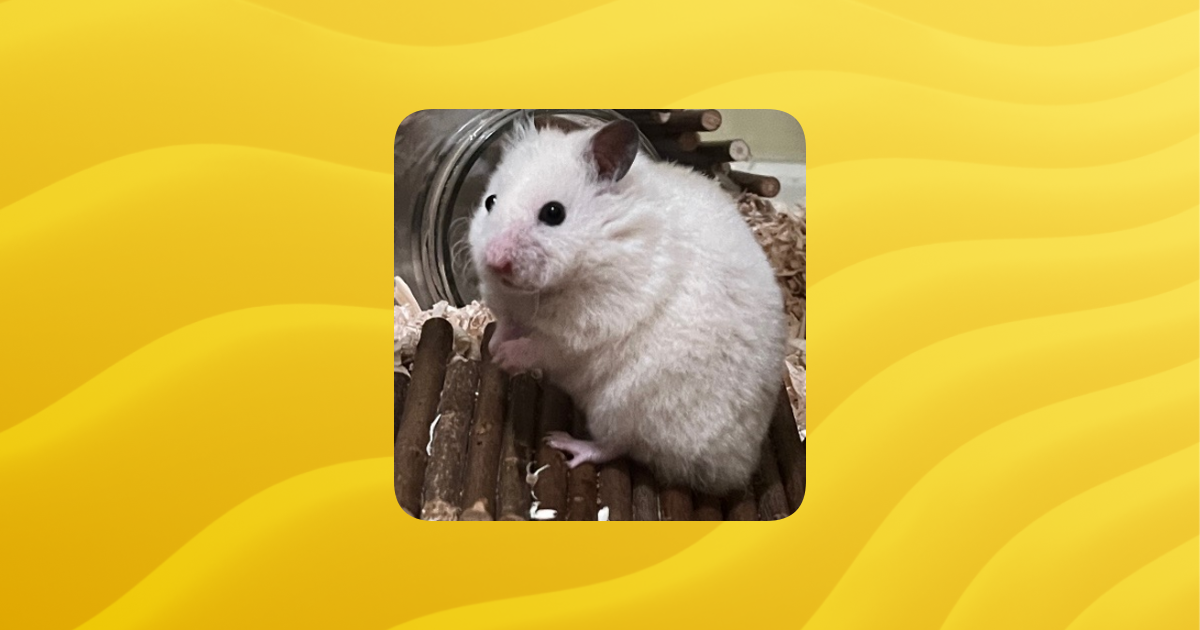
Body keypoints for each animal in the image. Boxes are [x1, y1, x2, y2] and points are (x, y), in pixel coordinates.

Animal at [467, 116, 787, 495]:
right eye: (490, 201)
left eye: (553, 212)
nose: (495, 260)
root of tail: (738, 469)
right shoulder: (510, 308)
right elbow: (506, 324)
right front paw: (493, 348)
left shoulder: (584, 332)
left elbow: (541, 346)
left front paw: (504, 358)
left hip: (622, 407)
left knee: (616, 446)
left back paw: (562, 442)